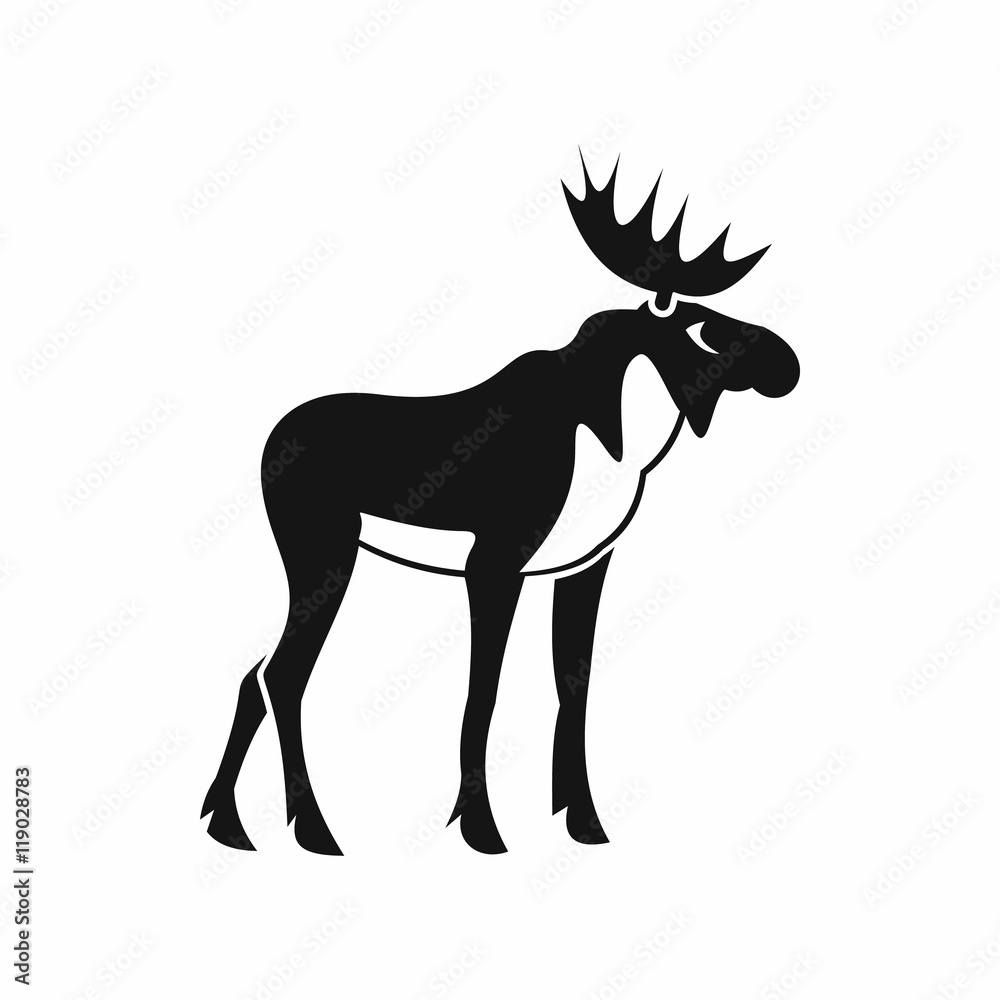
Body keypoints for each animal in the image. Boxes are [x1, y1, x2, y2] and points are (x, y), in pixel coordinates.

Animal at [201, 156, 800, 855]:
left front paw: (585, 823)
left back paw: (229, 824)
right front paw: (480, 829)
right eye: (703, 323)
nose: (788, 364)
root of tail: (271, 443)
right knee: (283, 675)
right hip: (324, 551)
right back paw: (316, 832)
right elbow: (480, 693)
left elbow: (574, 690)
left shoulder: (586, 565)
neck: (620, 437)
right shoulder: (493, 562)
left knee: (256, 674)